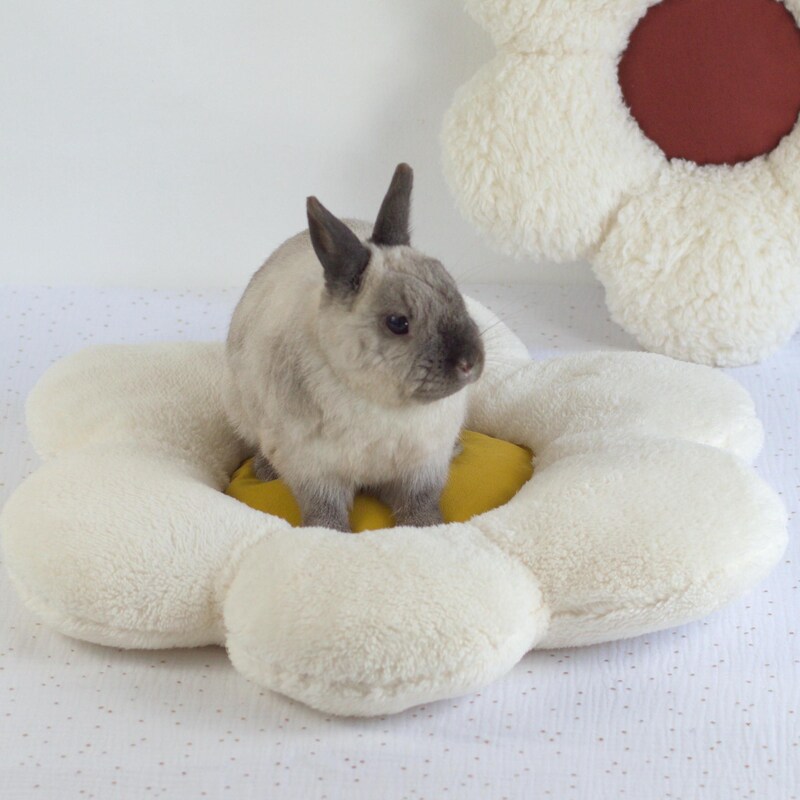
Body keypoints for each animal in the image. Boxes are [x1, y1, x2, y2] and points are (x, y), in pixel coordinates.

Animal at [223, 163, 485, 532]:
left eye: (455, 293)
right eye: (397, 322)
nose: (469, 362)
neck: (381, 404)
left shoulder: (423, 466)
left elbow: (419, 503)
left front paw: (427, 527)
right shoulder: (314, 471)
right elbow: (324, 509)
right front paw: (328, 533)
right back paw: (264, 470)